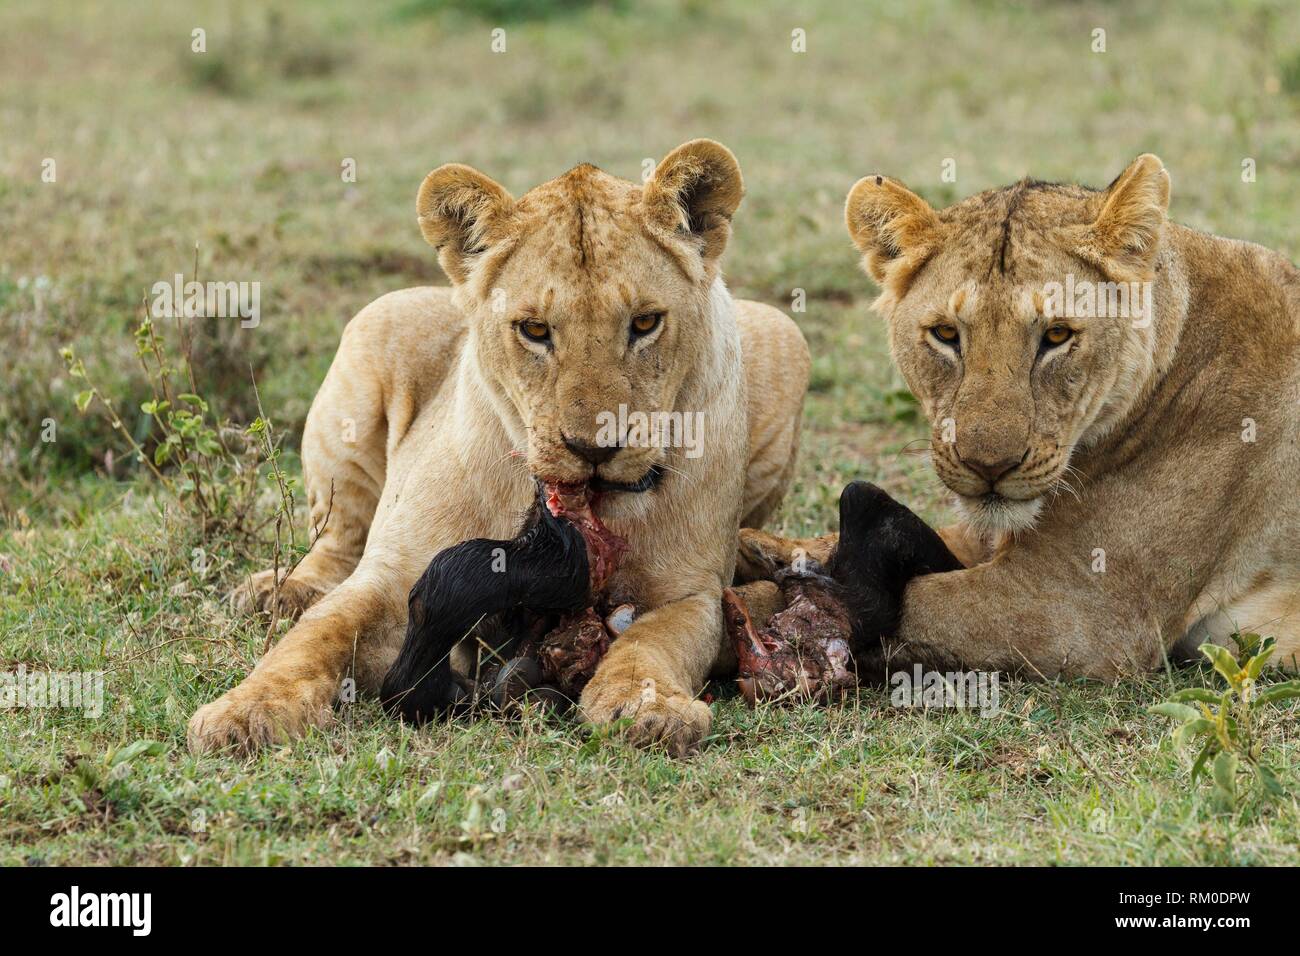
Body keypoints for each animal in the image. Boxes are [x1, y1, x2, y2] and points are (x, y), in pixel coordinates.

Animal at [188, 139, 810, 755]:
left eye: (645, 323)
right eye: (534, 330)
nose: (593, 450)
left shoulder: (694, 593)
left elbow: (653, 641)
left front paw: (646, 706)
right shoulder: (395, 575)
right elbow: (315, 634)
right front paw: (246, 710)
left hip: (781, 329)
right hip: (374, 325)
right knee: (335, 541)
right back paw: (278, 592)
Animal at [739, 154, 1300, 677]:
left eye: (1057, 335)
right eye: (945, 334)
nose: (990, 467)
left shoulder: (1077, 610)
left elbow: (913, 600)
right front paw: (762, 553)